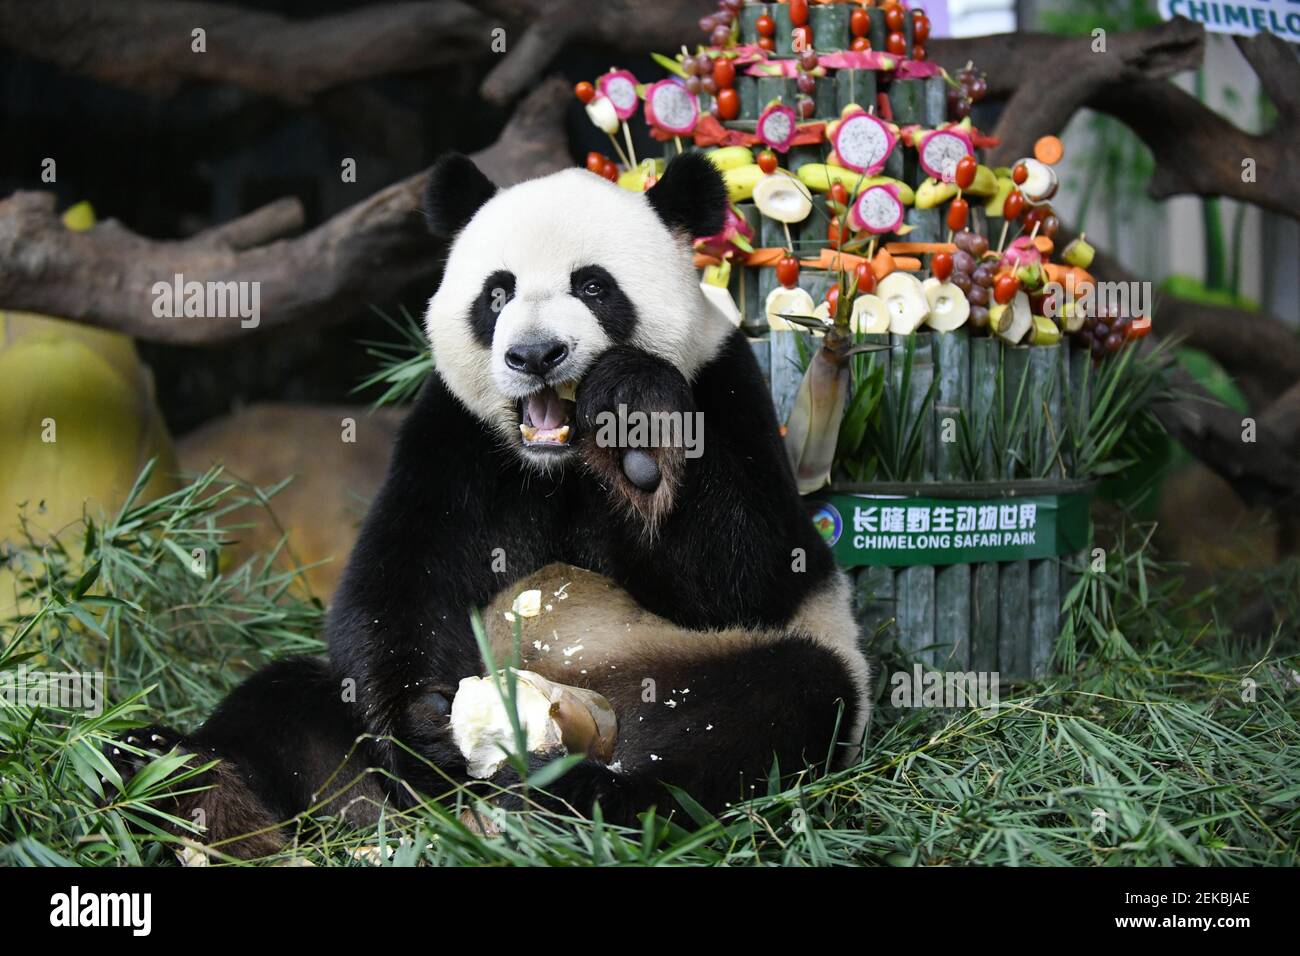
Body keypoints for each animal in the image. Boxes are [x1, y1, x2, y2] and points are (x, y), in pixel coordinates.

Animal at [108, 151, 872, 858]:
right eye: (497, 294)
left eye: (593, 286)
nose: (535, 355)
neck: (559, 465)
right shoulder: (457, 437)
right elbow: (402, 584)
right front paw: (424, 727)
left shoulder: (726, 389)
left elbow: (744, 572)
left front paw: (638, 441)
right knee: (283, 699)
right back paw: (180, 782)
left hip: (720, 671)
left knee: (776, 710)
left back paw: (575, 799)